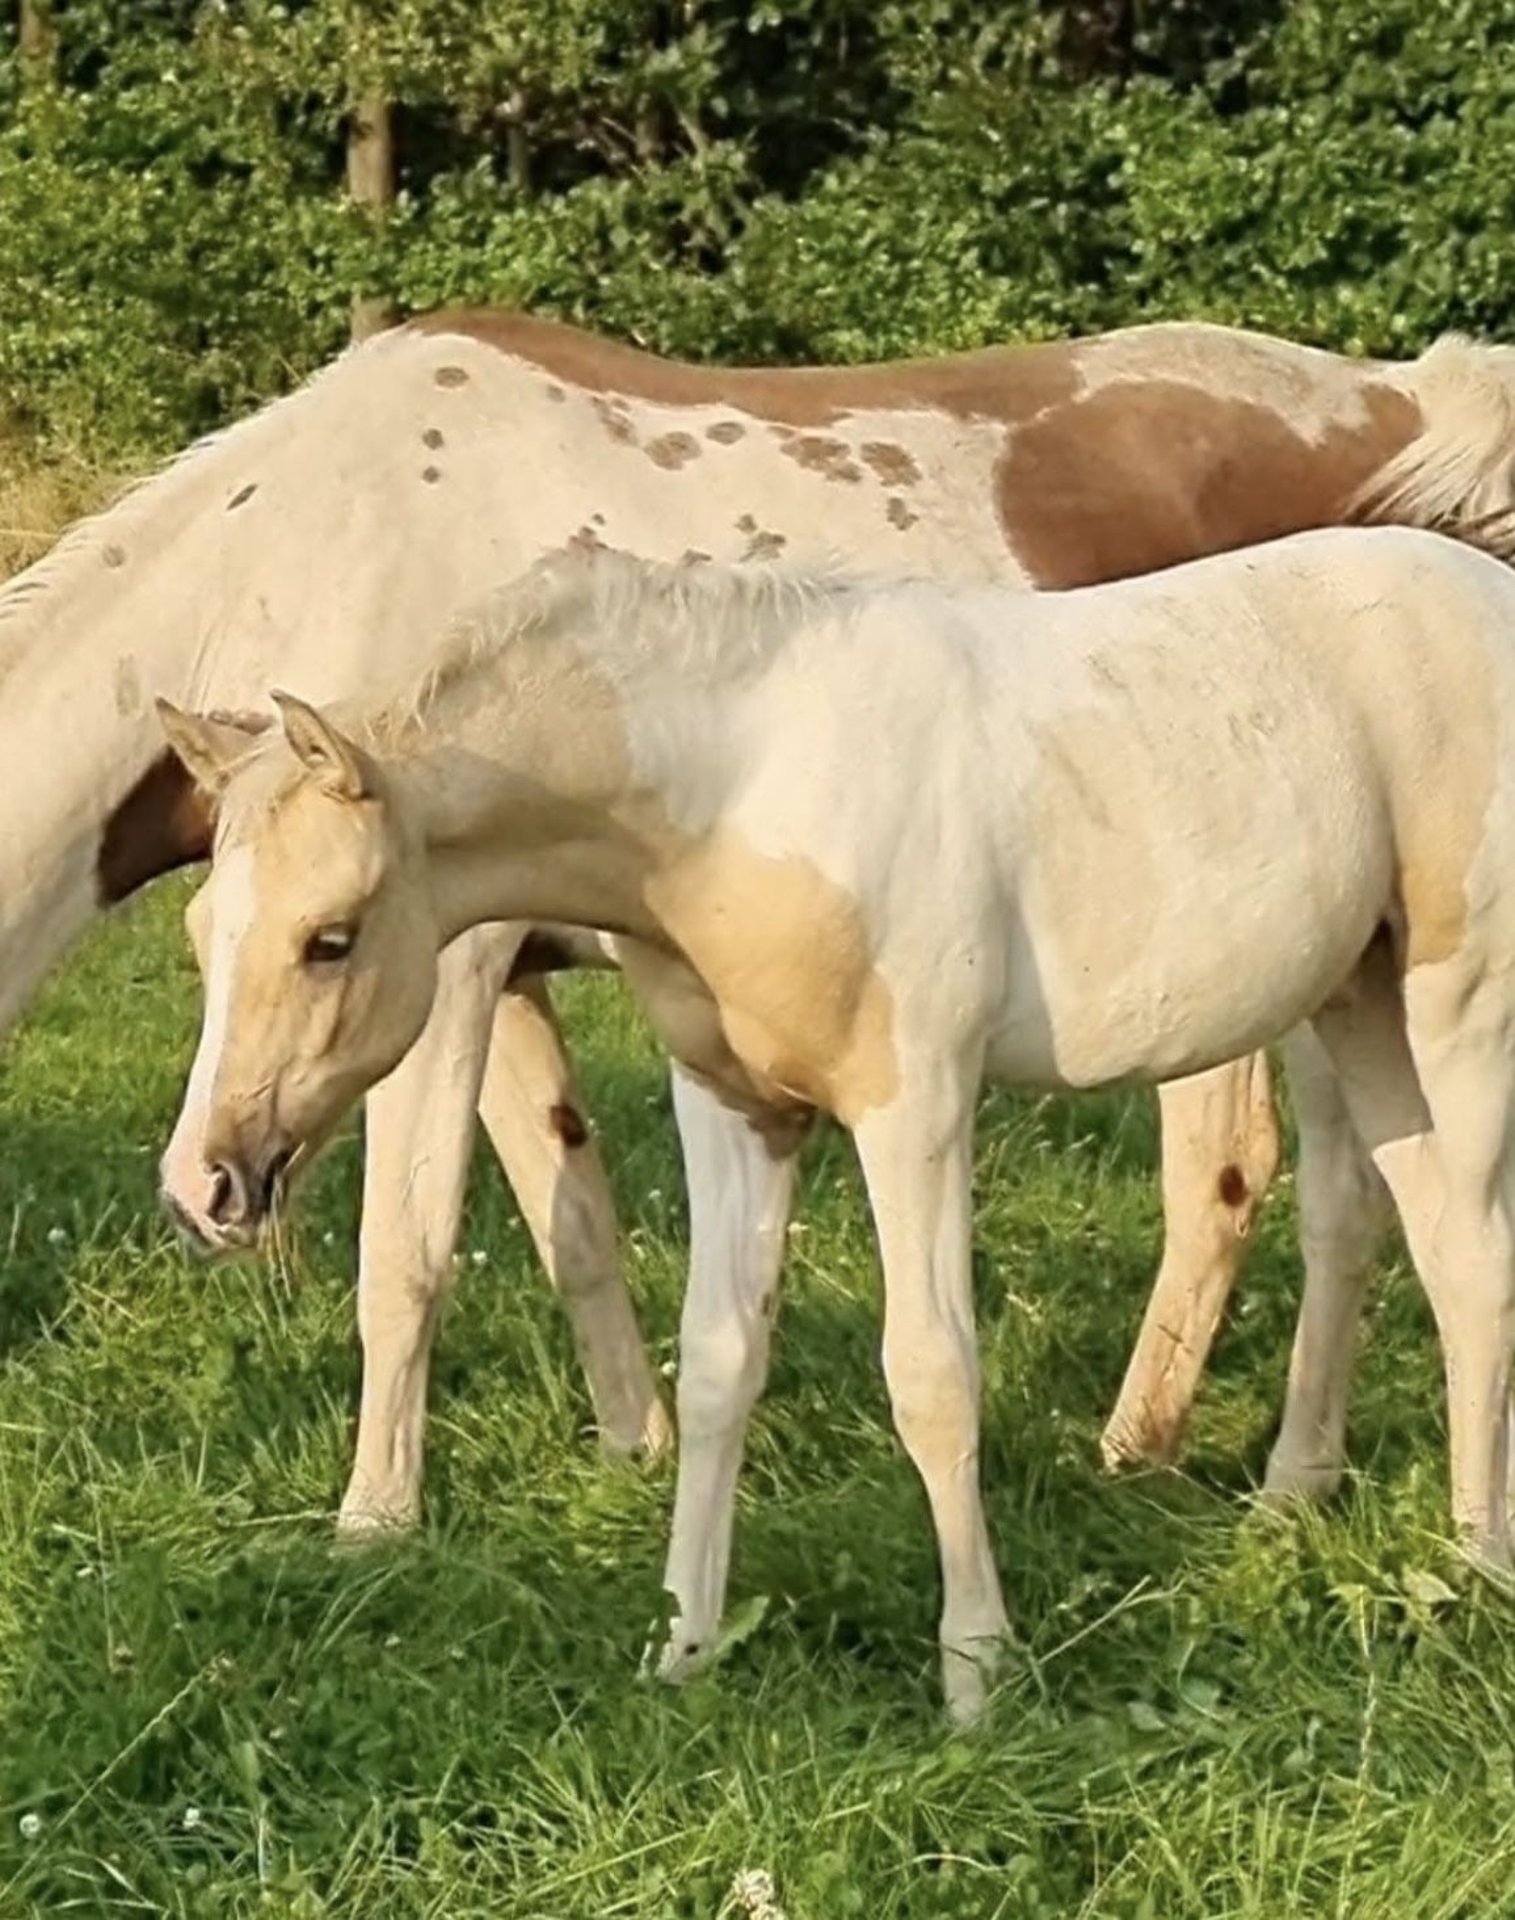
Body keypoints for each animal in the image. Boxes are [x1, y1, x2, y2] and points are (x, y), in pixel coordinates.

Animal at [6, 308, 1515, 1534]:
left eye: (322, 940)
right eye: (200, 941)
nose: (200, 1191)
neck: (322, 542)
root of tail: (1399, 404)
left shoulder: (440, 977)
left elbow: (407, 1251)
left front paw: (374, 1521)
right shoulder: (497, 975)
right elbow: (573, 1218)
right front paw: (640, 1445)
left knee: (1285, 1182)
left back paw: (1194, 1458)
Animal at [156, 526, 1515, 1720]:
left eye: (329, 939)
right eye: (200, 931)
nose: (204, 1185)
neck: (745, 784)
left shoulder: (915, 1103)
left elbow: (933, 1374)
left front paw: (977, 1675)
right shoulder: (736, 1105)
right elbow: (716, 1360)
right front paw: (682, 1650)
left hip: (1455, 1008)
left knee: (1476, 1258)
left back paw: (1478, 1563)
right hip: (1355, 1004)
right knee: (1396, 1230)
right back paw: (1310, 1502)